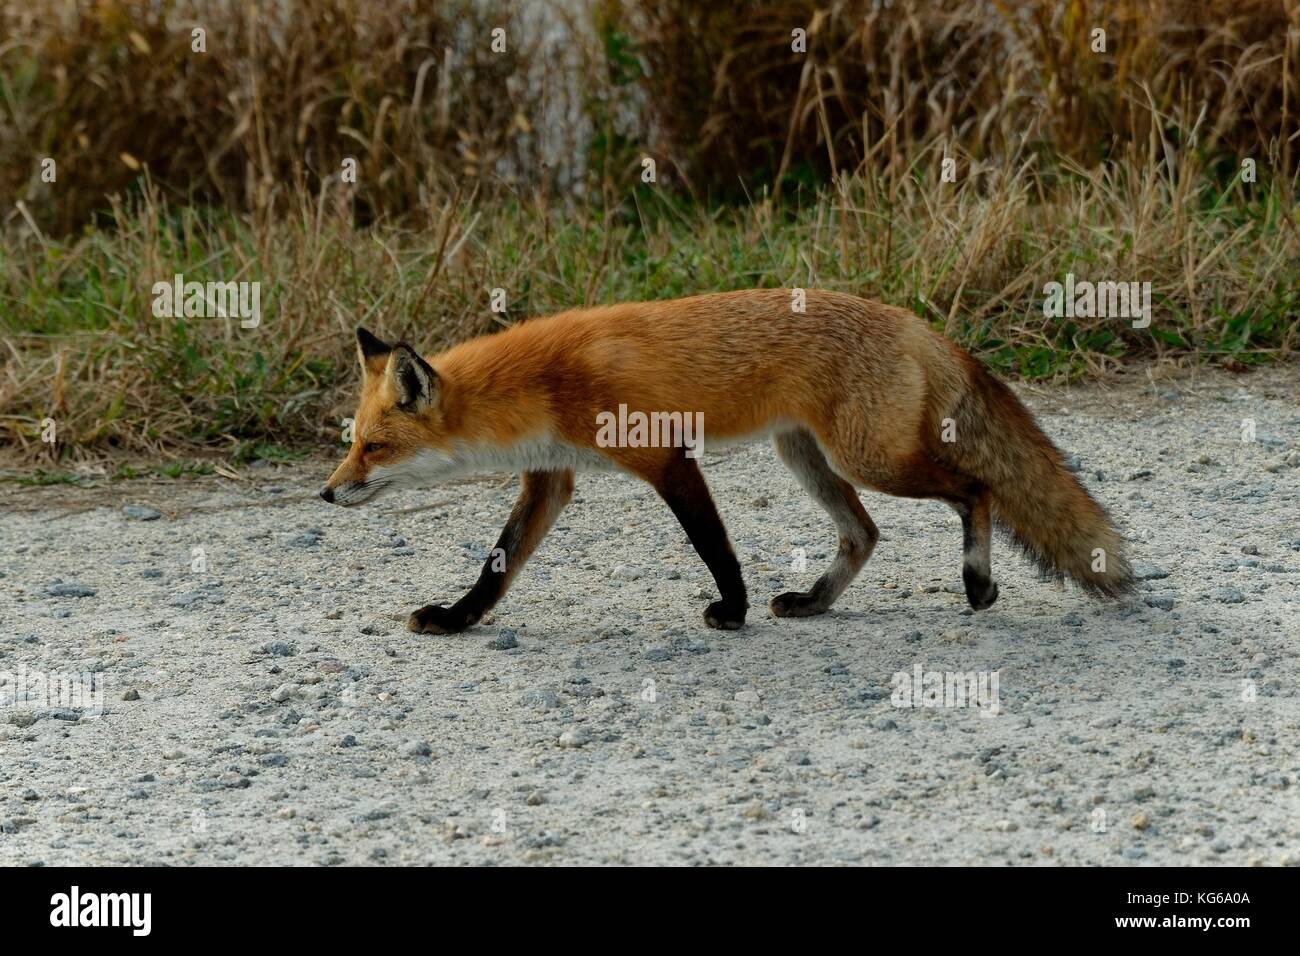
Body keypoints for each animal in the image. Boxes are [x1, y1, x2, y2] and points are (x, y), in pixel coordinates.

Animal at [321, 289, 1132, 634]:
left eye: (373, 447)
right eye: (351, 442)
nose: (327, 494)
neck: (544, 384)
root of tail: (915, 321)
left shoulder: (664, 455)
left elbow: (715, 547)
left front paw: (733, 611)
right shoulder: (551, 478)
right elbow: (497, 564)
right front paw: (458, 619)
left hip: (870, 459)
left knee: (977, 489)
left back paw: (978, 583)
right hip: (806, 456)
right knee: (864, 534)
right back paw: (813, 603)